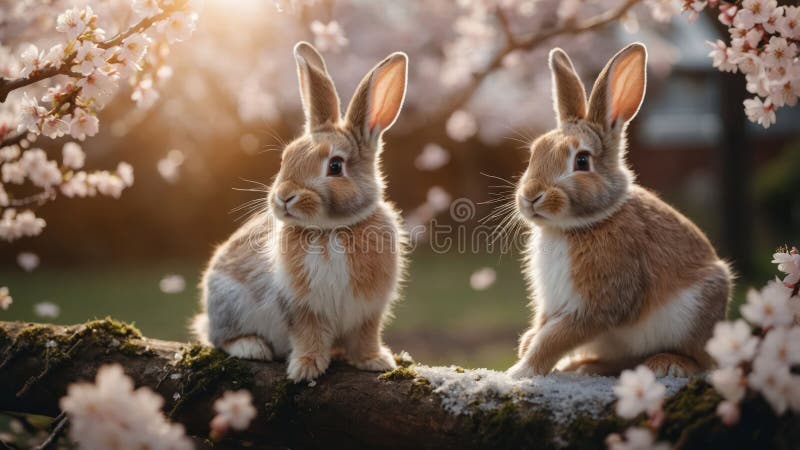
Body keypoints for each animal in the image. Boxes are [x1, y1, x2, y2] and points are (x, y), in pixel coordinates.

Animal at [192, 41, 408, 382]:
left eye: (335, 166)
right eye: (286, 157)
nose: (284, 197)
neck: (330, 231)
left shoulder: (368, 310)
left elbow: (366, 336)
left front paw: (376, 361)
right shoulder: (301, 307)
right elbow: (309, 335)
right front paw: (305, 368)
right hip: (228, 303)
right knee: (219, 339)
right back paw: (252, 347)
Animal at [506, 43, 732, 379]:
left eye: (582, 161)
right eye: (535, 153)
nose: (531, 196)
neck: (575, 227)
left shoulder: (596, 305)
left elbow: (555, 338)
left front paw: (519, 371)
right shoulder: (554, 304)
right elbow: (543, 329)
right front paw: (525, 346)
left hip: (696, 313)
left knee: (700, 362)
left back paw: (667, 364)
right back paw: (585, 367)